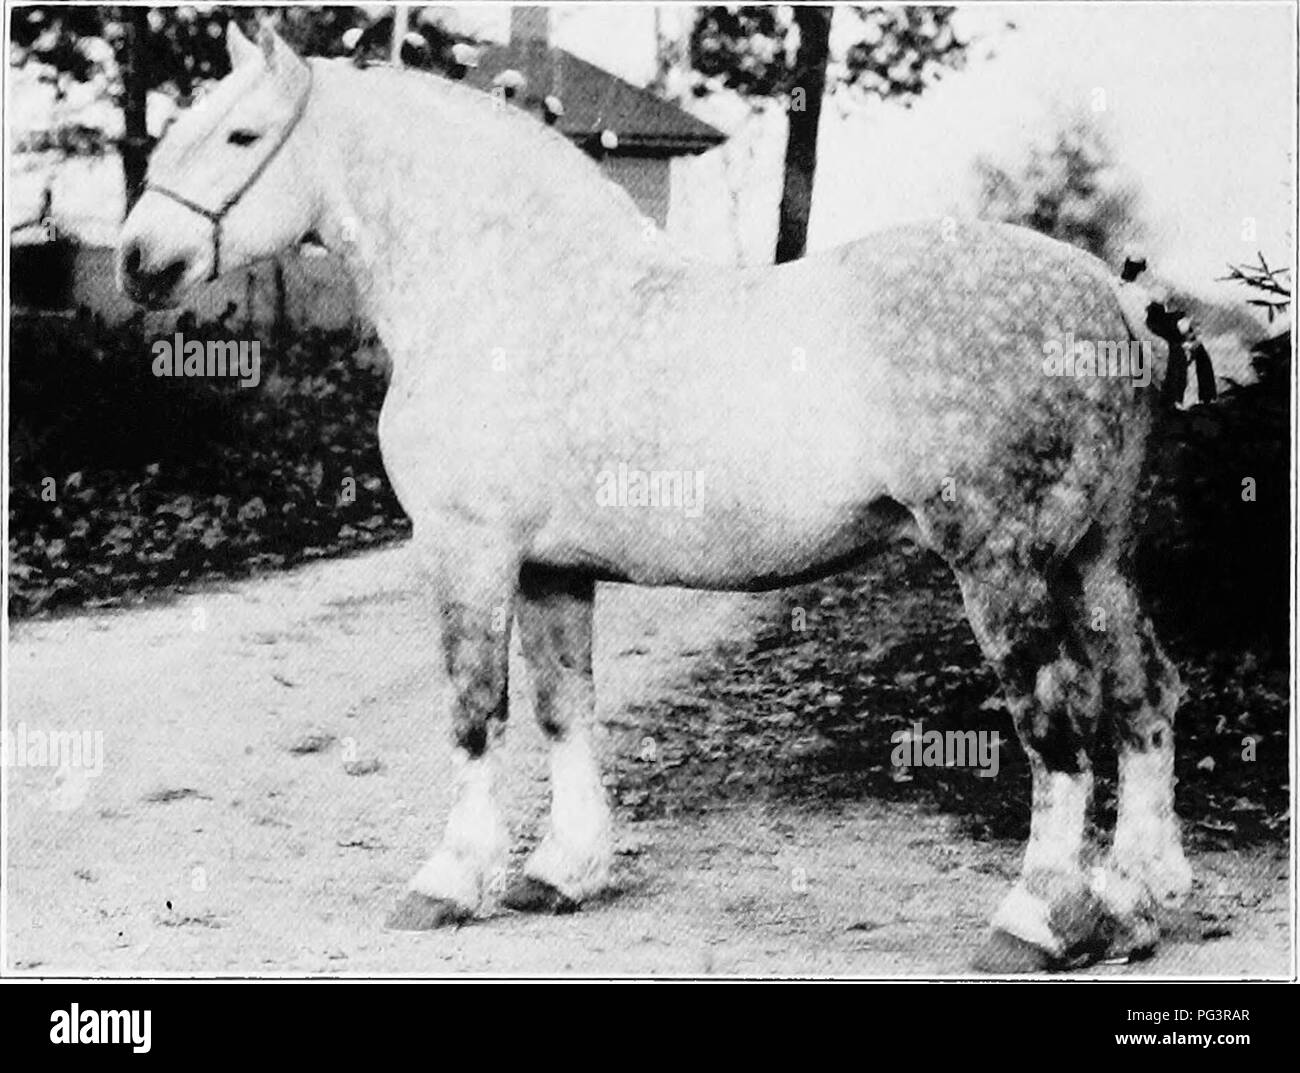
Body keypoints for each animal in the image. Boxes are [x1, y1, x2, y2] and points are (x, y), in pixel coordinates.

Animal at [117, 24, 1193, 972]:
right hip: (1097, 555)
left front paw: (448, 880)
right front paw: (561, 870)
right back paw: (1135, 902)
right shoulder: (551, 567)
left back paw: (1036, 921)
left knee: (1057, 724)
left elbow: (475, 709)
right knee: (1141, 694)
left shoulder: (469, 549)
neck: (505, 292)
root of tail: (1113, 299)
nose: (138, 261)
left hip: (1001, 564)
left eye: (242, 136)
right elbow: (563, 707)